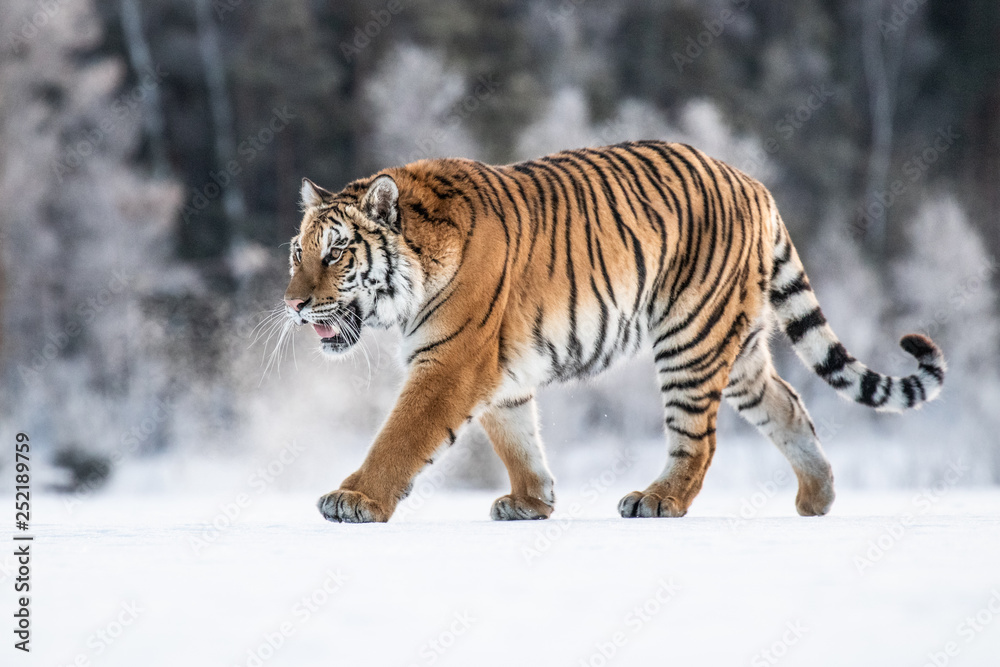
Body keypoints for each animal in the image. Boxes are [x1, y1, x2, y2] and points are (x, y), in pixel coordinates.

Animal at [282, 140, 946, 523]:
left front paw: (354, 499)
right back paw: (818, 499)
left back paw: (658, 500)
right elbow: (517, 437)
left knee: (699, 440)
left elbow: (400, 436)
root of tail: (752, 182)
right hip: (741, 346)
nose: (291, 304)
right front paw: (532, 502)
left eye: (336, 253)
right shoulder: (498, 370)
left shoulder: (453, 362)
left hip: (691, 338)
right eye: (297, 252)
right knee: (788, 405)